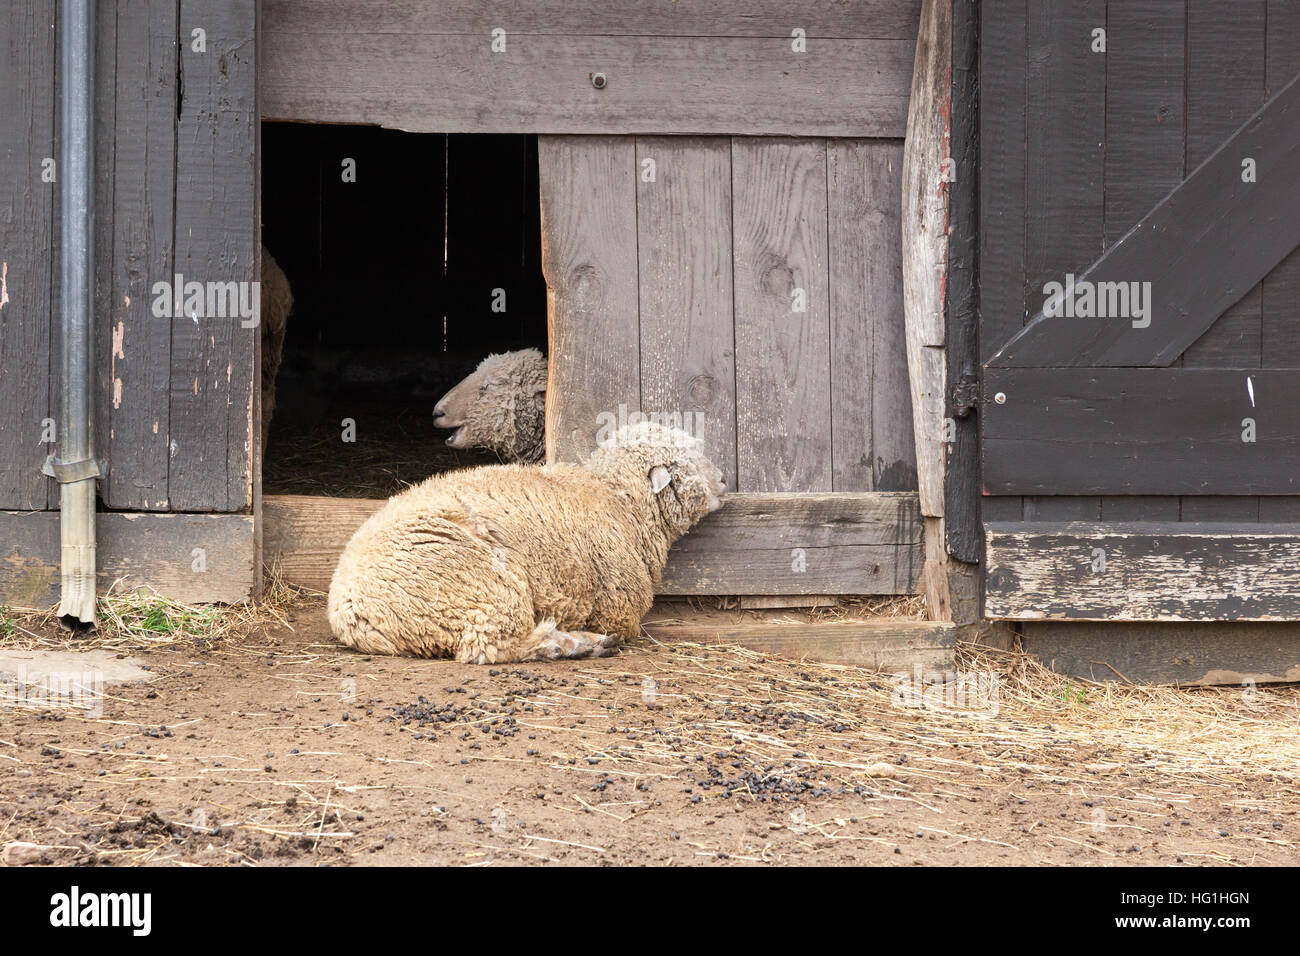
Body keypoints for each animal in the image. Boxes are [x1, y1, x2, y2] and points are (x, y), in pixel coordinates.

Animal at [327, 420, 726, 662]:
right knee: (491, 645)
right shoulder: (617, 610)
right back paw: (573, 645)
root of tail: (347, 609)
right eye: (691, 459)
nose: (724, 480)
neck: (618, 500)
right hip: (480, 584)